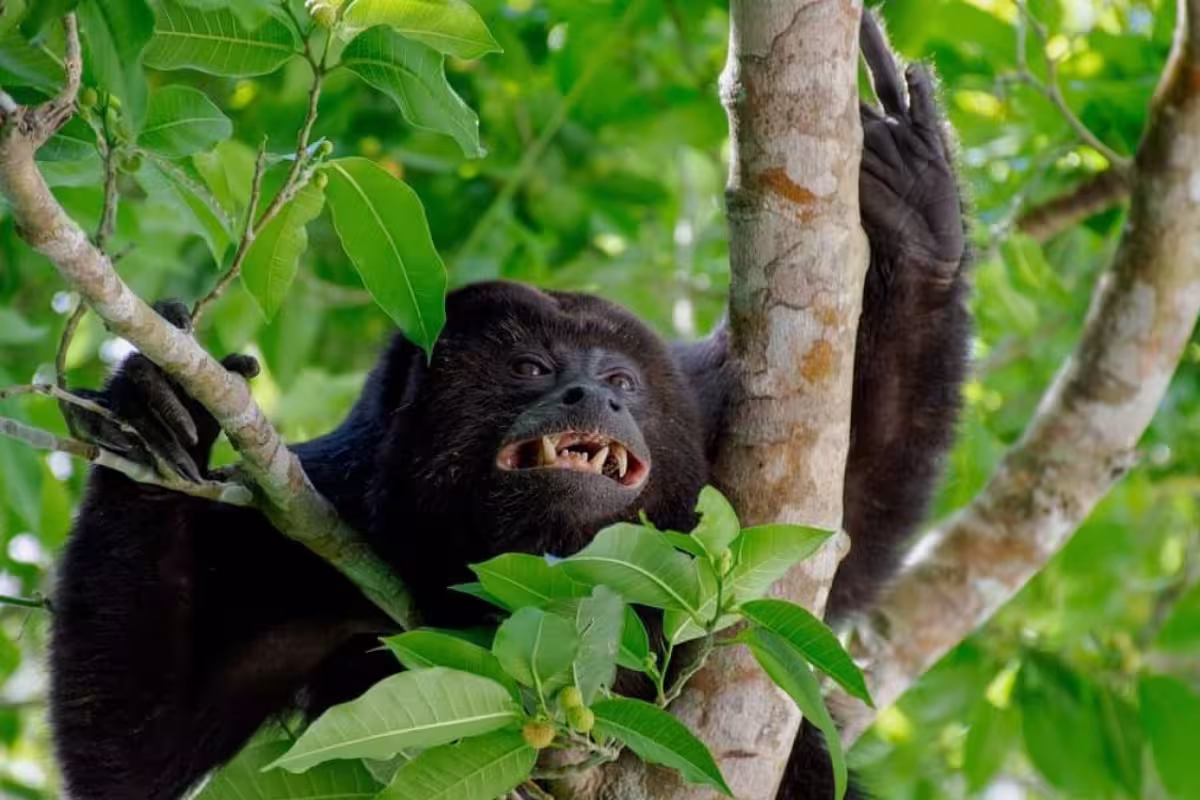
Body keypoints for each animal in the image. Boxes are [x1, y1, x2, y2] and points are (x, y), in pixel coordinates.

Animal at [47, 15, 968, 800]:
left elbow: (842, 531)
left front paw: (917, 211)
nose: (589, 394)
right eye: (529, 366)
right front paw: (153, 403)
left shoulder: (706, 416)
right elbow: (131, 748)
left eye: (623, 381)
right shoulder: (296, 531)